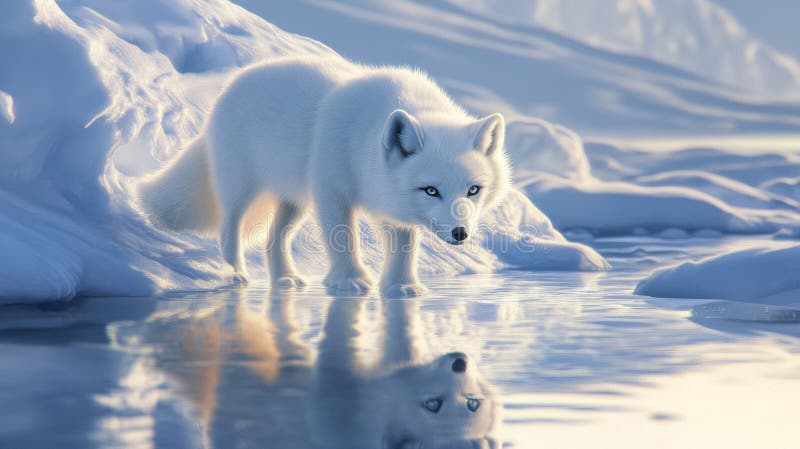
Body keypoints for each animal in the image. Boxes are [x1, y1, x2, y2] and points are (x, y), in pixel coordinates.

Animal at [138, 56, 511, 297]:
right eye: (431, 190)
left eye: (473, 190)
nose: (461, 233)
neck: (363, 136)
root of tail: (234, 82)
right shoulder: (330, 190)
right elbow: (344, 238)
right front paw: (350, 280)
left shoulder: (390, 205)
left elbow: (405, 248)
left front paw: (400, 286)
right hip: (243, 189)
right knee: (230, 230)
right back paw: (235, 275)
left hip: (294, 202)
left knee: (274, 239)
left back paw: (285, 279)